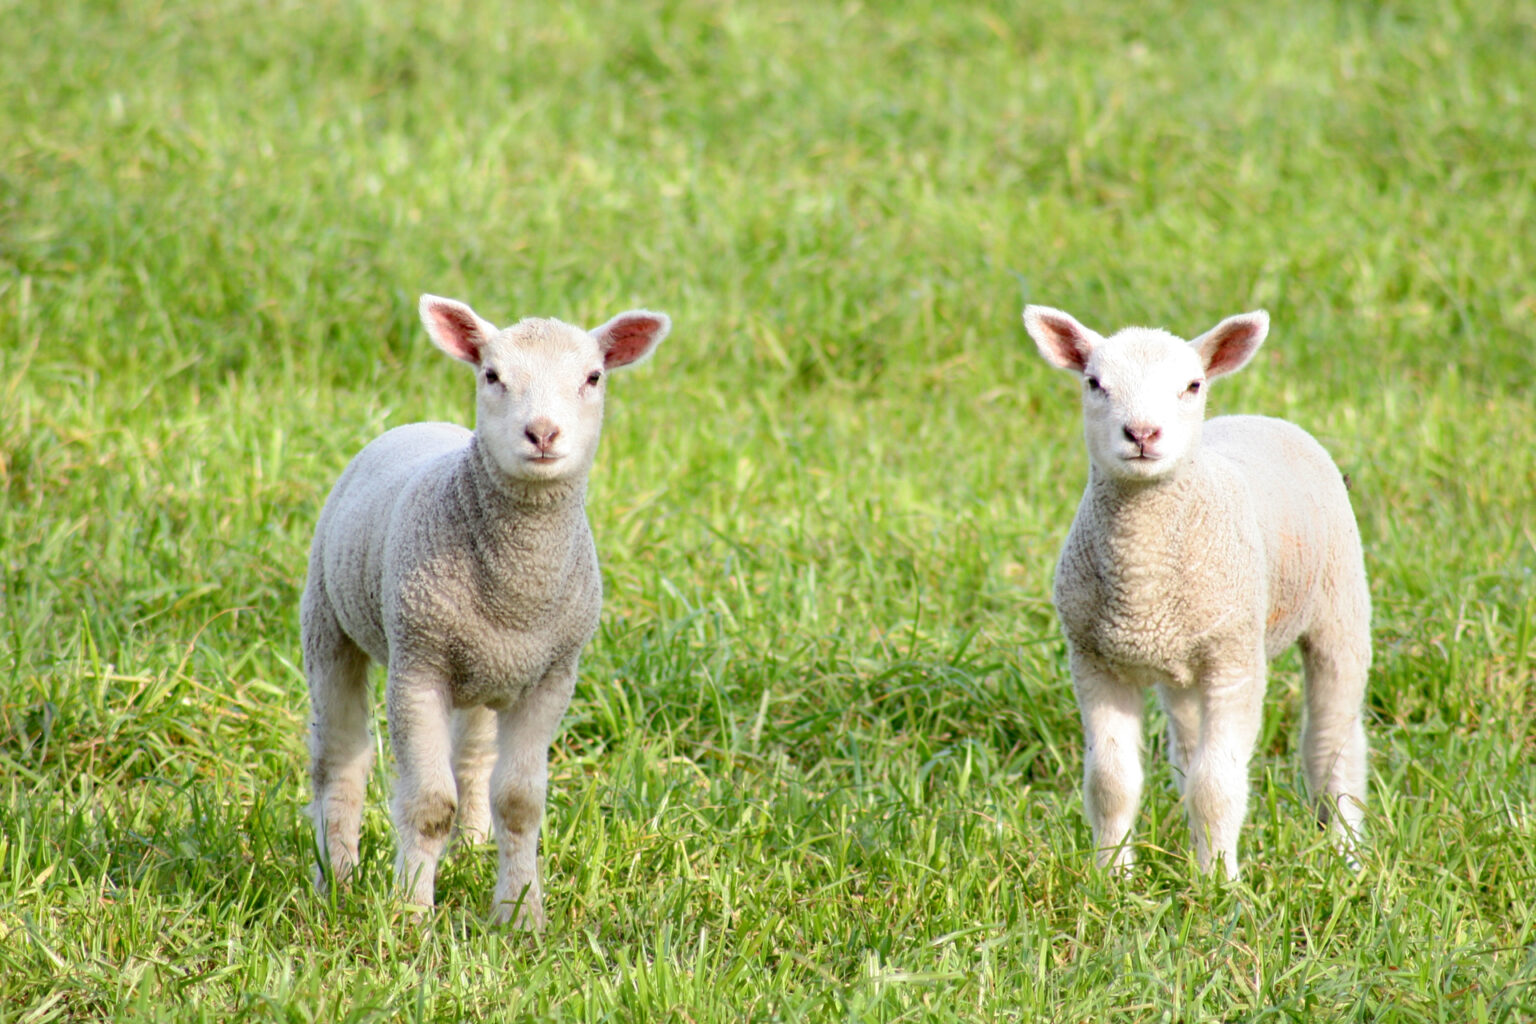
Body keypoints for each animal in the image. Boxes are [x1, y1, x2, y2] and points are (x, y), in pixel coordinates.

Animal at [302, 293, 669, 928]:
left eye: (593, 377)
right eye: (492, 375)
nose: (542, 432)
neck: (515, 592)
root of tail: (422, 424)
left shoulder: (551, 676)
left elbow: (520, 803)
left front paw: (521, 917)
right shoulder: (418, 665)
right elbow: (428, 804)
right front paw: (412, 916)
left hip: (478, 670)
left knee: (472, 756)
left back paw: (472, 848)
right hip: (329, 623)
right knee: (341, 758)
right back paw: (338, 880)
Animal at [1023, 304, 1371, 877]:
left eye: (1192, 385)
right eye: (1094, 383)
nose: (1142, 433)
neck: (1143, 579)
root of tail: (1261, 418)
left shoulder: (1235, 661)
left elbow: (1217, 785)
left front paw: (1219, 881)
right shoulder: (1093, 659)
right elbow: (1112, 783)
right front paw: (1111, 877)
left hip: (1339, 603)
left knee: (1332, 741)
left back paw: (1347, 851)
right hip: (1185, 661)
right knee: (1187, 748)